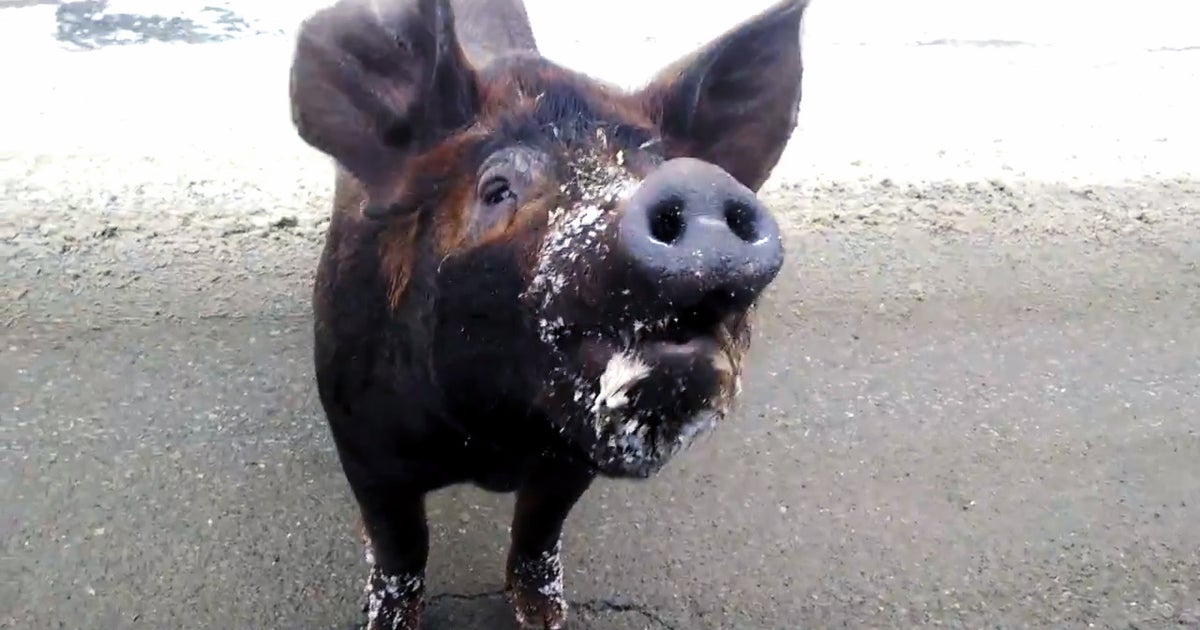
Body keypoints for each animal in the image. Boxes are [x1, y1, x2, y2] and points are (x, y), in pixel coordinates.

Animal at [287, 0, 809, 627]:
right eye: (496, 188)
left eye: (654, 165)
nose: (695, 181)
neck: (497, 444)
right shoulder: (361, 443)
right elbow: (401, 548)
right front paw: (384, 621)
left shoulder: (571, 460)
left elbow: (540, 530)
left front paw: (546, 617)